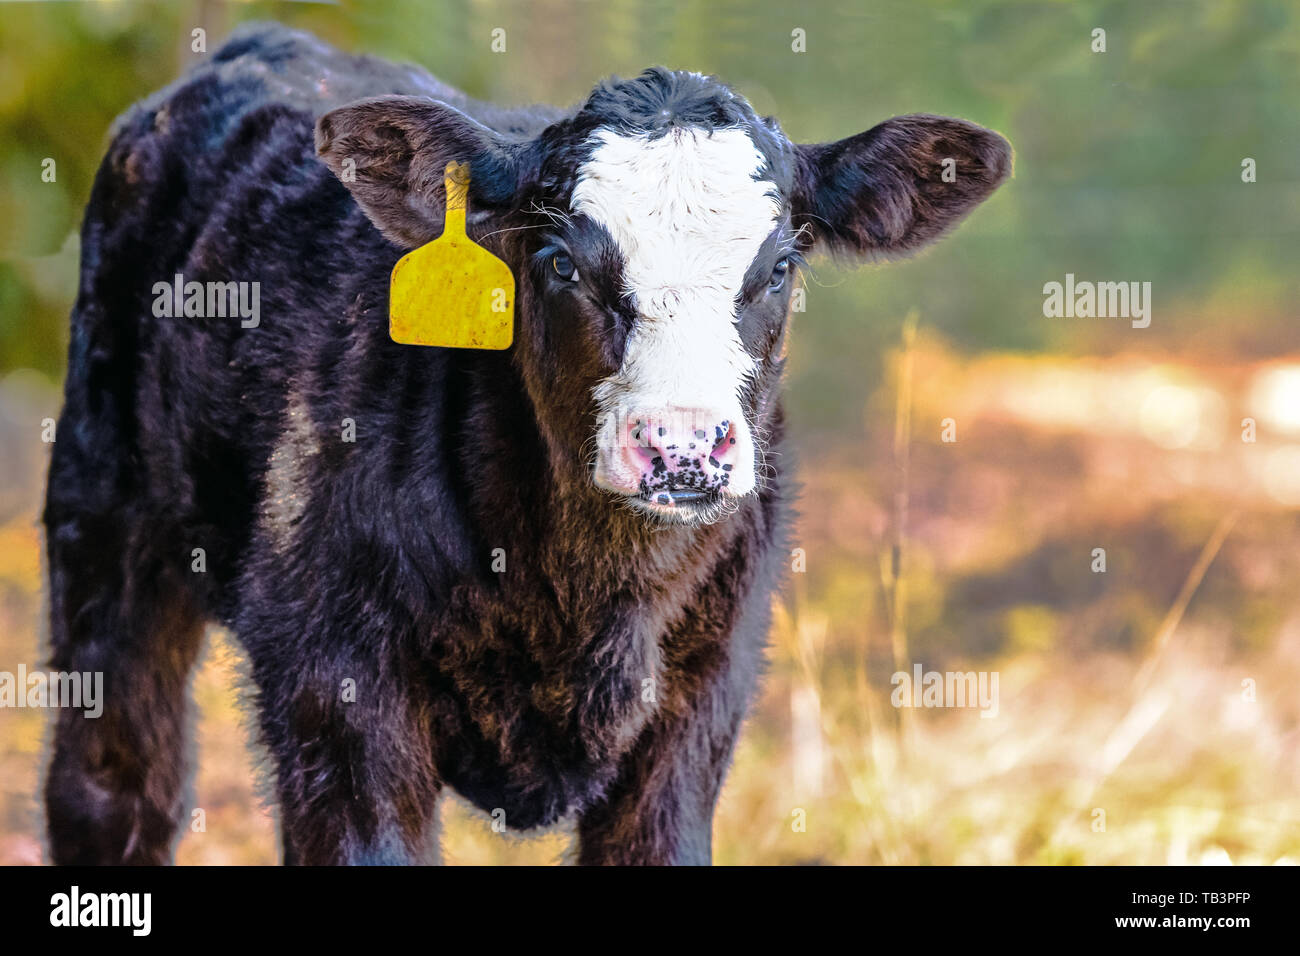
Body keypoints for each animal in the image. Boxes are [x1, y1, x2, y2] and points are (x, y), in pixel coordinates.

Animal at [42, 22, 1010, 865]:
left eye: (779, 269)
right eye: (562, 264)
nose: (681, 449)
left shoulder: (705, 692)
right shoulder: (332, 683)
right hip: (102, 522)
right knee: (115, 786)